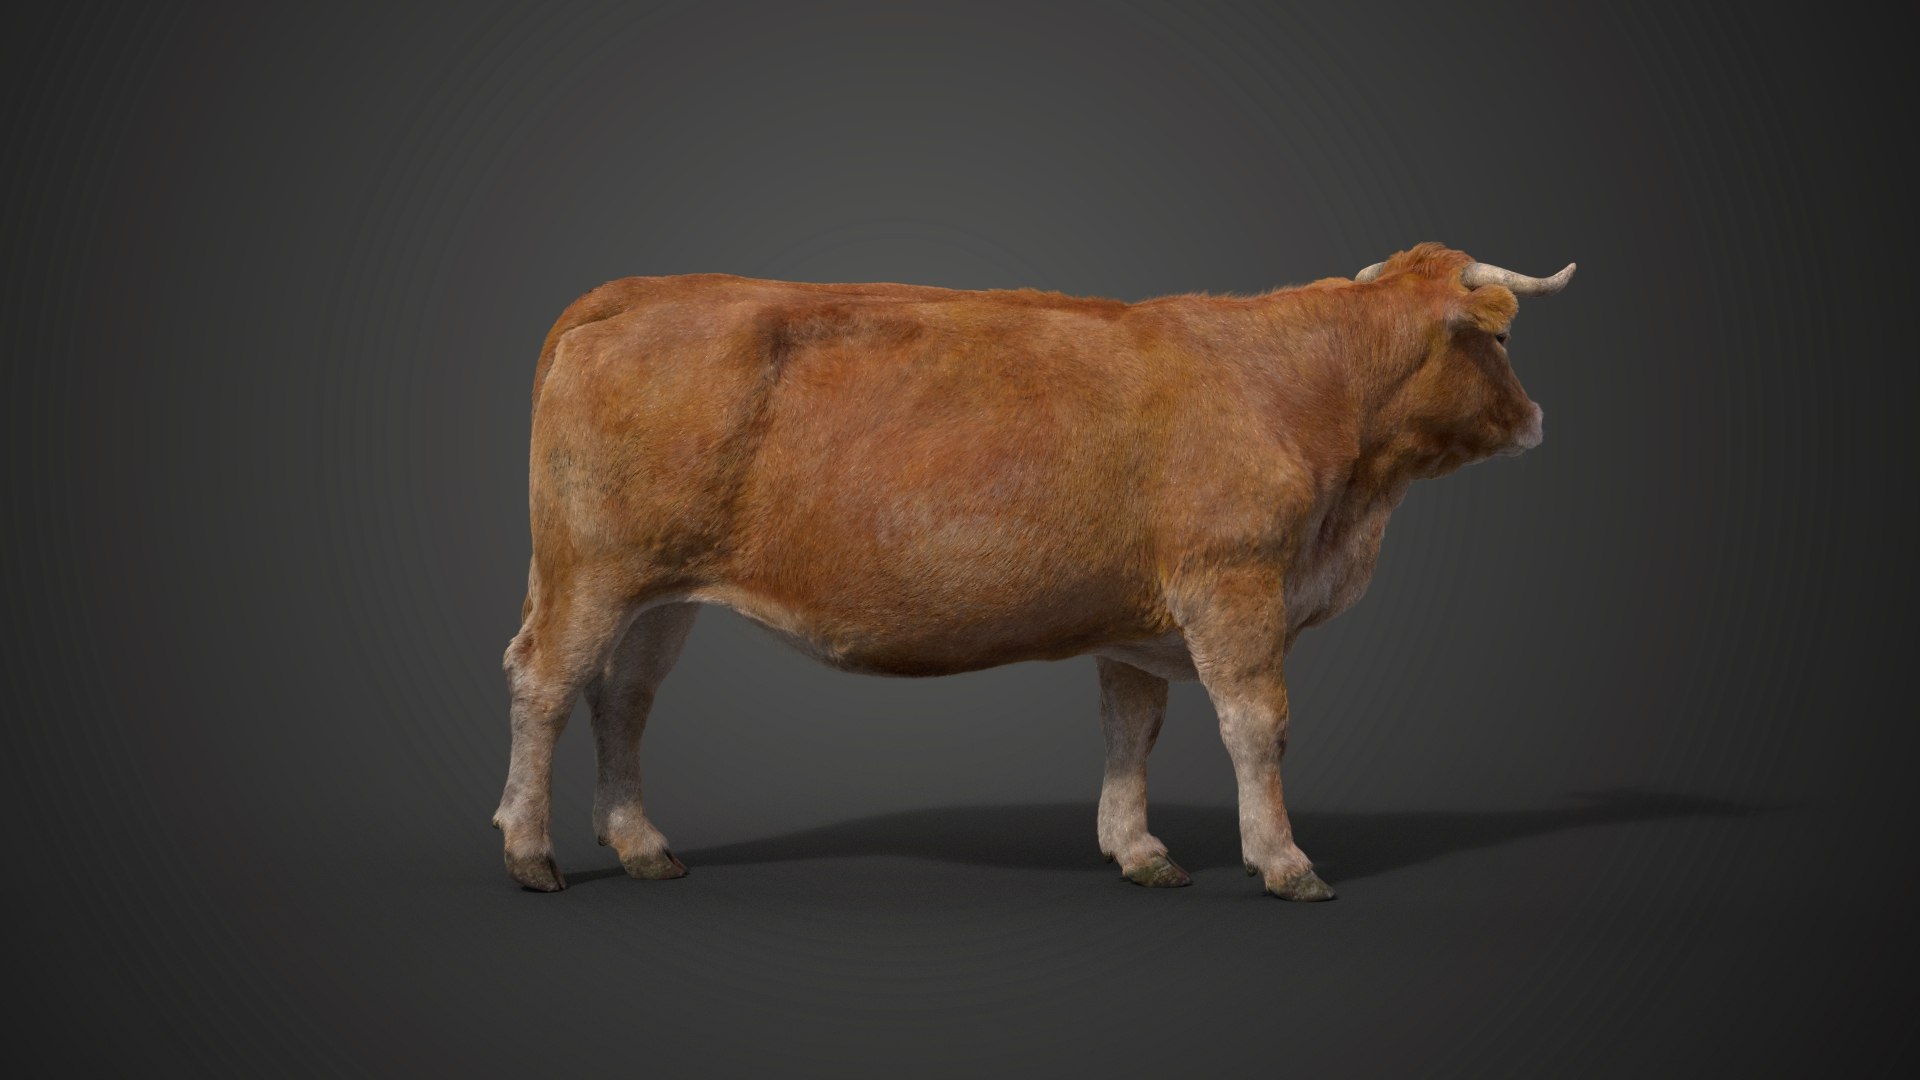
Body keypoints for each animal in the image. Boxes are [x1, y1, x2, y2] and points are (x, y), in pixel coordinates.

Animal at [492, 242, 1575, 900]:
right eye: (1501, 338)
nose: (1536, 421)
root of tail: (646, 290)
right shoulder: (1233, 584)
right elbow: (1257, 725)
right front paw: (1284, 860)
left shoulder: (1141, 619)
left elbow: (1133, 729)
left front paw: (1139, 850)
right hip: (592, 572)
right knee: (545, 683)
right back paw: (530, 851)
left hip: (659, 594)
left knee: (623, 698)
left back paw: (641, 845)